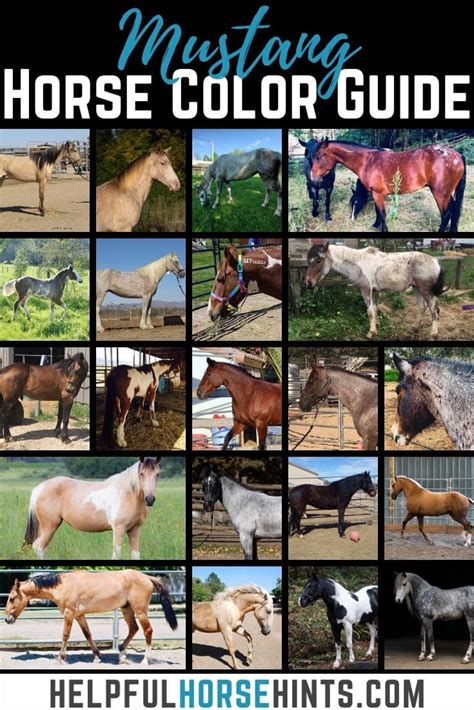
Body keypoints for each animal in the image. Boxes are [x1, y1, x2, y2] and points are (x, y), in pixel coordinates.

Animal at [5, 569, 177, 665]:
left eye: (12, 598)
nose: (7, 619)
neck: (63, 586)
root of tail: (147, 577)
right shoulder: (79, 615)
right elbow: (88, 634)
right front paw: (97, 656)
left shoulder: (69, 613)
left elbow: (65, 635)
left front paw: (60, 658)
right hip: (126, 609)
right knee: (133, 629)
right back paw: (121, 655)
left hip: (140, 611)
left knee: (147, 630)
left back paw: (145, 660)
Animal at [24, 457, 161, 559]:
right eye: (141, 474)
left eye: (157, 474)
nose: (150, 499)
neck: (127, 494)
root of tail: (38, 488)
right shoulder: (119, 529)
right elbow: (116, 555)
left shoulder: (134, 529)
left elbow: (136, 555)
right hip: (50, 526)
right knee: (38, 547)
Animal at [305, 243, 447, 338]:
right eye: (309, 261)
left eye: (319, 261)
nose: (308, 282)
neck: (358, 263)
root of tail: (435, 260)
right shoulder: (374, 291)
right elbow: (375, 308)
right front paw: (377, 325)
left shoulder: (366, 290)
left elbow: (370, 311)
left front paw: (371, 332)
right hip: (417, 288)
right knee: (422, 307)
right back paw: (414, 328)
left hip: (425, 290)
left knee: (434, 309)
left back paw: (433, 333)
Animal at [306, 138, 466, 232]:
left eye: (318, 157)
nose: (313, 178)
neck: (367, 160)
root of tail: (457, 155)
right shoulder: (376, 193)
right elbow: (378, 211)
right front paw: (376, 225)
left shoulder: (377, 193)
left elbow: (382, 214)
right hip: (447, 194)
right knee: (454, 210)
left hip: (440, 194)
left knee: (446, 214)